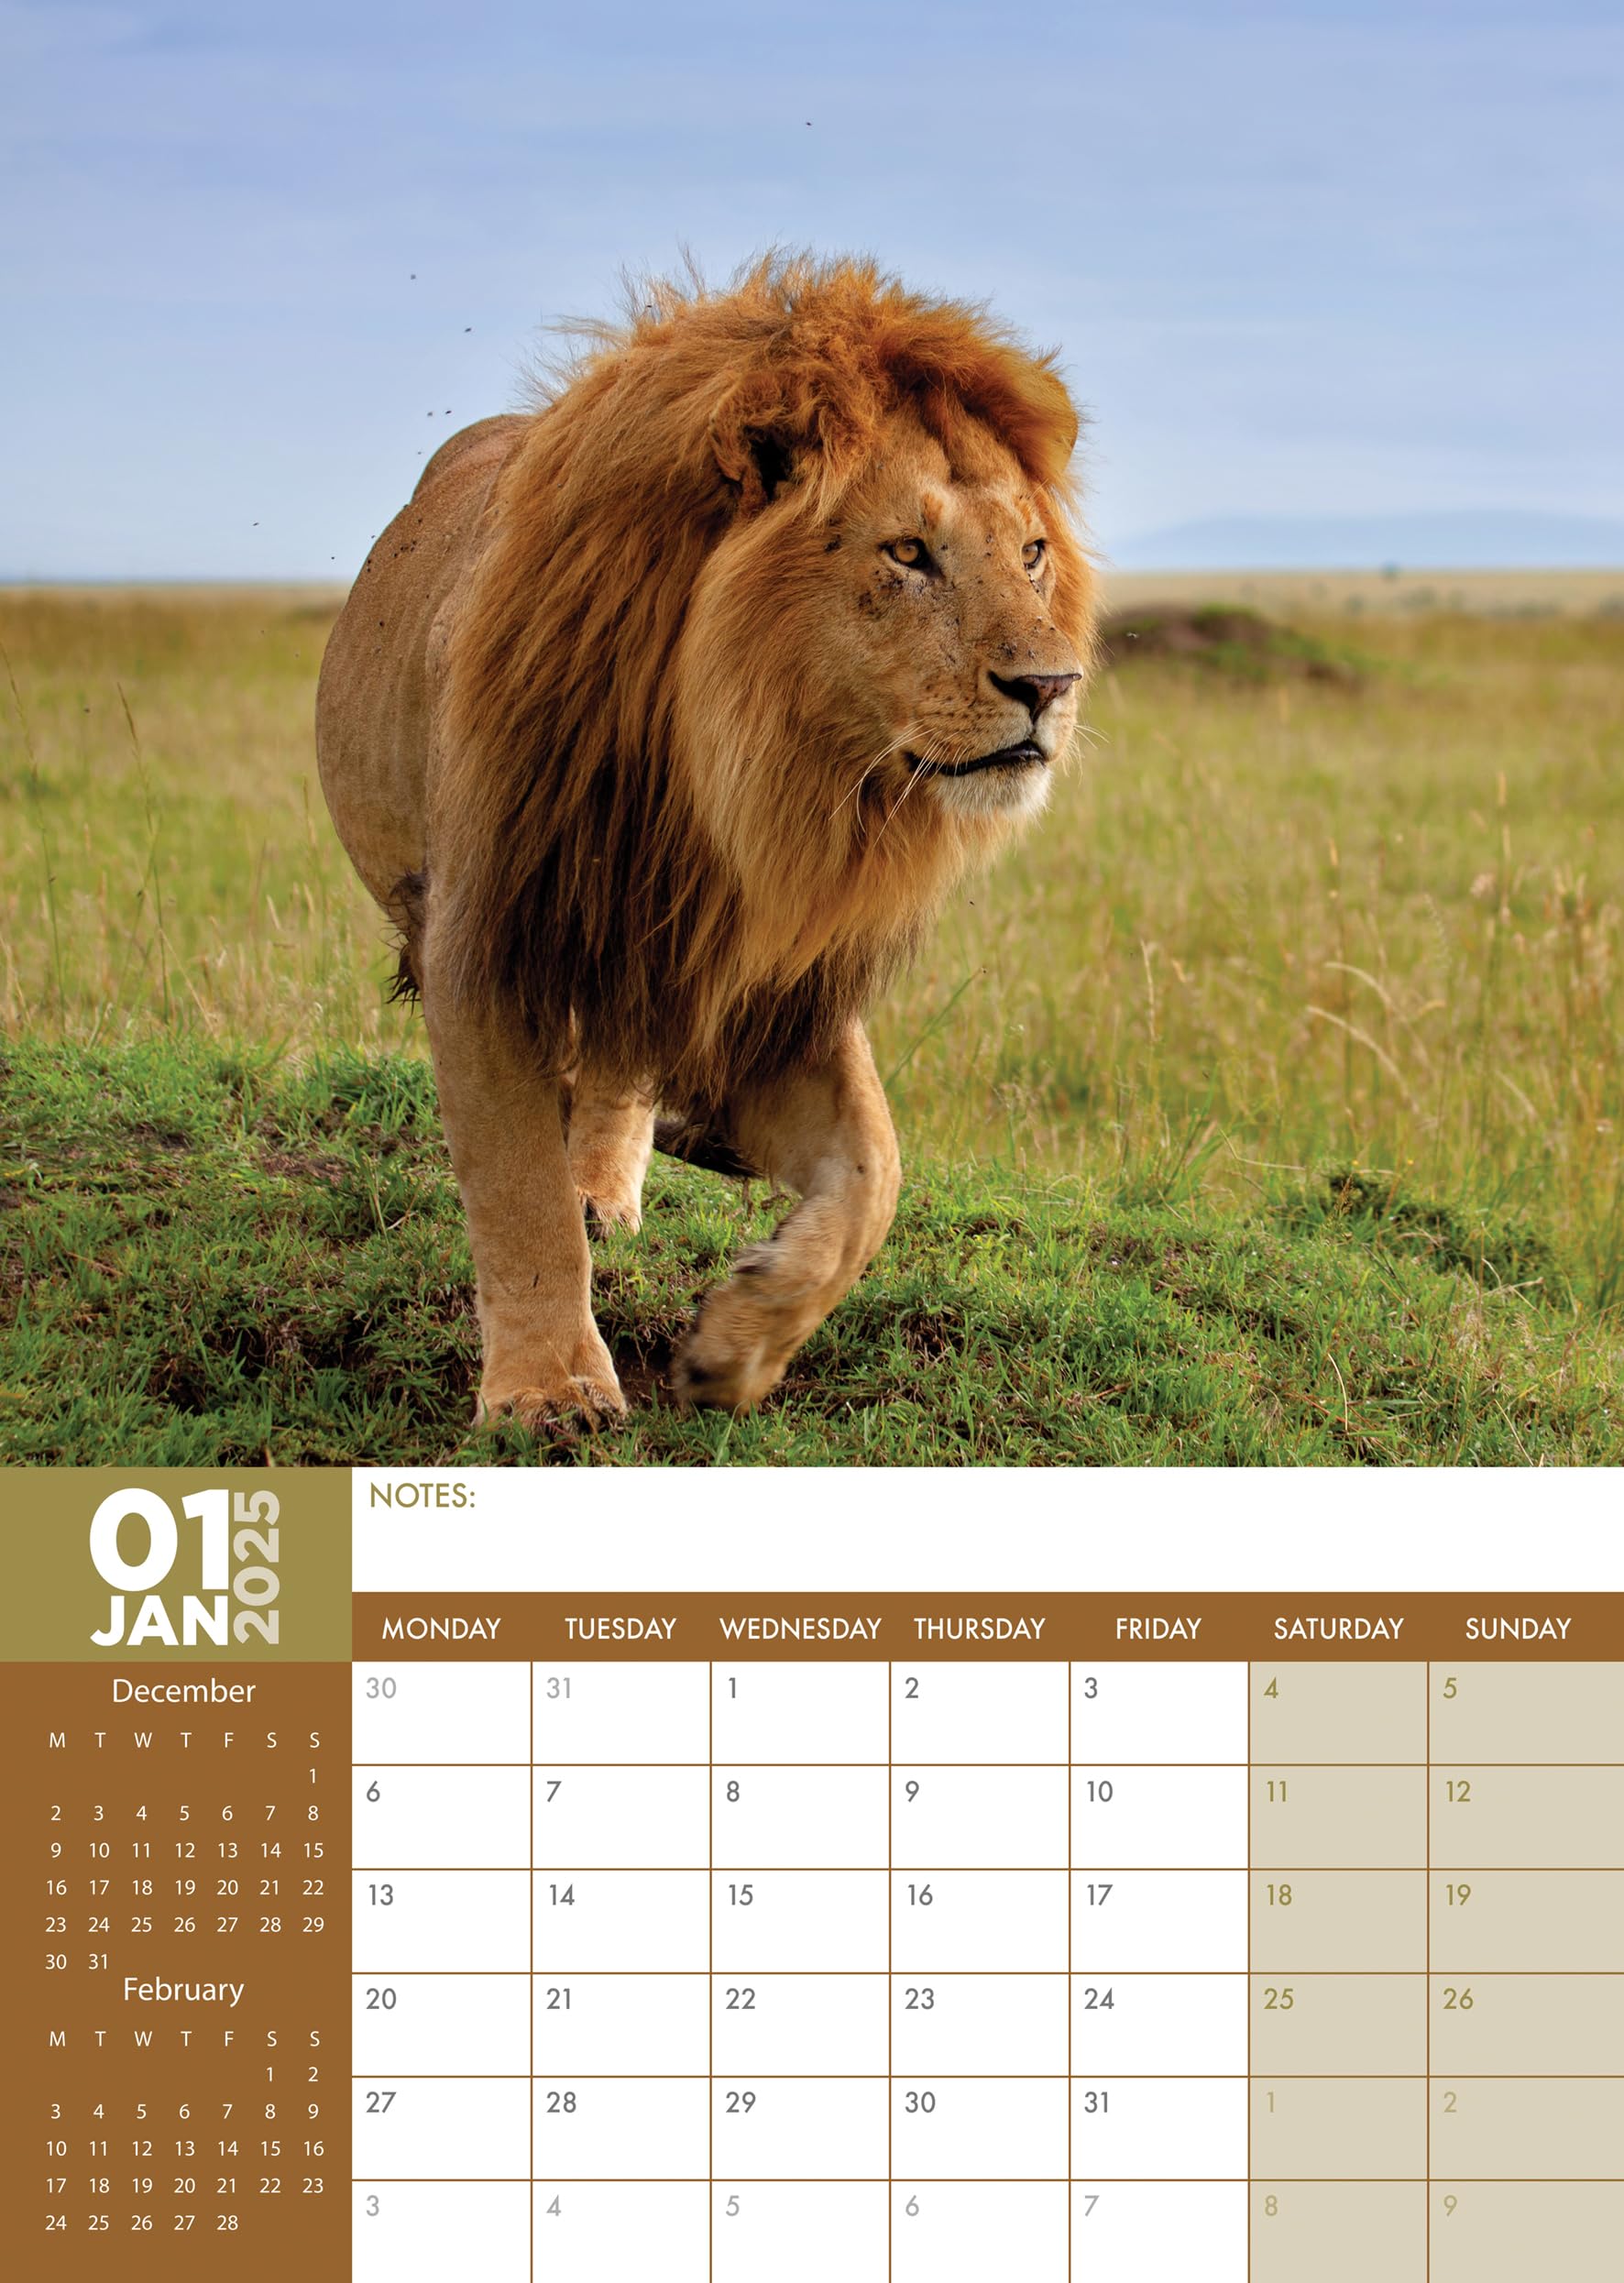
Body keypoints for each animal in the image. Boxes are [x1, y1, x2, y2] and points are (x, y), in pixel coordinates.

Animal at [316, 253, 1096, 1429]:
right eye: (907, 552)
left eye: (1032, 553)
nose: (1049, 687)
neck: (740, 780)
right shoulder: (488, 938)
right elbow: (515, 1188)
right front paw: (548, 1393)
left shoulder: (771, 986)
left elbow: (875, 1171)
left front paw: (737, 1342)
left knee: (620, 1077)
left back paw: (624, 1178)